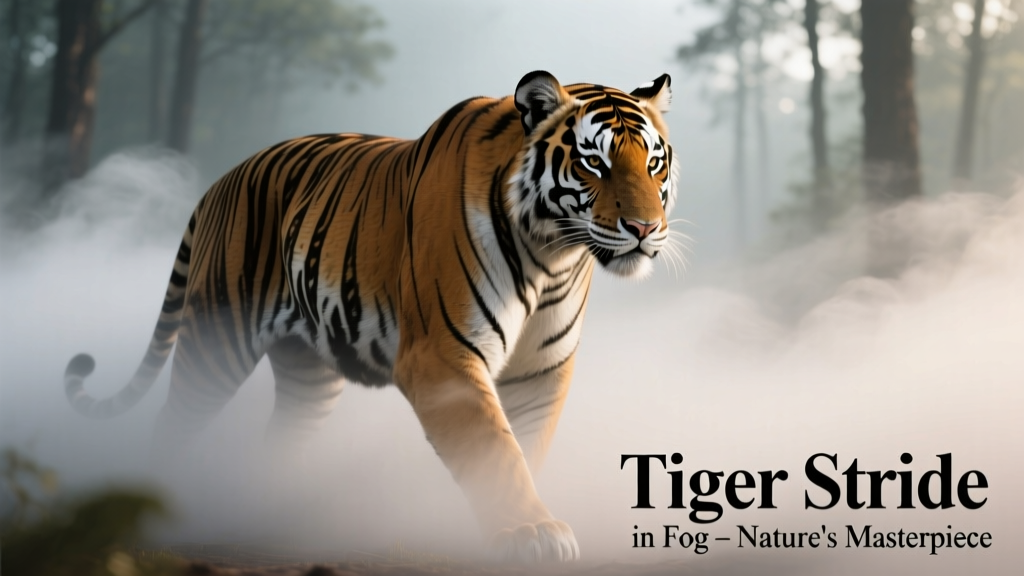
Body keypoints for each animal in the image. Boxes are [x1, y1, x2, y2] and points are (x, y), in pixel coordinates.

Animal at [63, 71, 678, 562]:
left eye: (653, 163)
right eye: (594, 162)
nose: (645, 228)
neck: (553, 256)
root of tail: (220, 180)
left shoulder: (540, 370)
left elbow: (524, 446)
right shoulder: (442, 357)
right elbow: (495, 448)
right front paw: (531, 532)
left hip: (307, 371)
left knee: (280, 436)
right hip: (217, 339)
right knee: (173, 424)